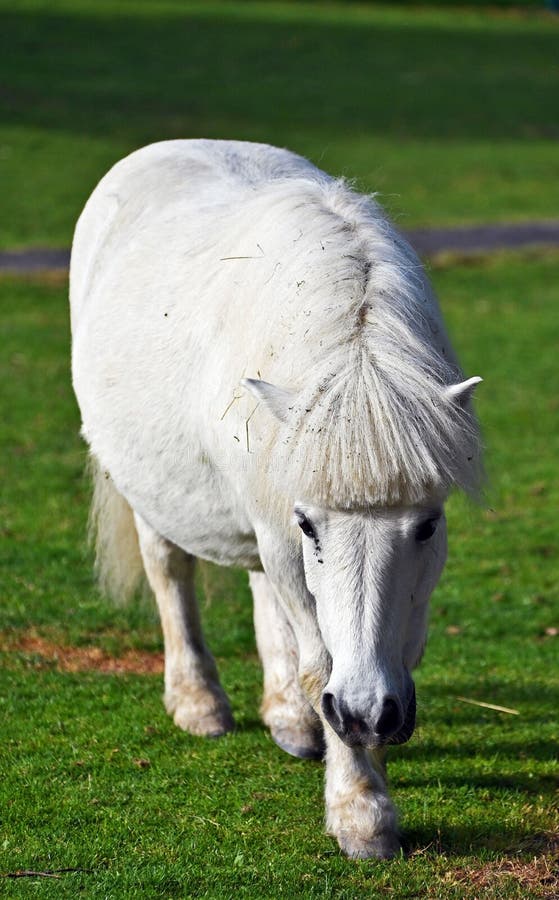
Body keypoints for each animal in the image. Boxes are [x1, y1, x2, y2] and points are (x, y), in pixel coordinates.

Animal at [70, 140, 482, 859]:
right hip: (153, 497)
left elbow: (394, 652)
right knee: (169, 573)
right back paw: (199, 702)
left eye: (428, 525)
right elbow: (320, 665)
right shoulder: (281, 528)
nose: (366, 711)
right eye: (311, 526)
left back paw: (288, 717)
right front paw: (361, 812)